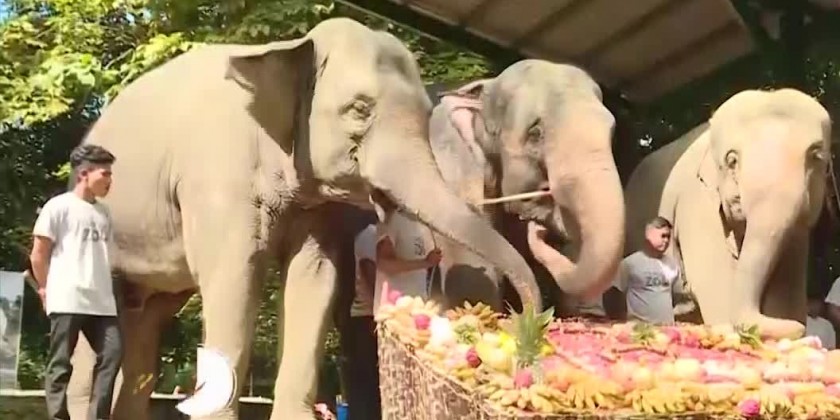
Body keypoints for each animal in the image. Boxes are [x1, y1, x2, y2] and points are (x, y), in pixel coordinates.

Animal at [63, 17, 541, 420]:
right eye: (359, 109)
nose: (524, 326)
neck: (285, 51)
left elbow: (315, 278)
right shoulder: (217, 177)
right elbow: (234, 278)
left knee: (146, 326)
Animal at [622, 88, 833, 340]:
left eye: (815, 156)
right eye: (732, 161)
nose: (801, 327)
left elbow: (787, 288)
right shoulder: (697, 204)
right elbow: (716, 283)